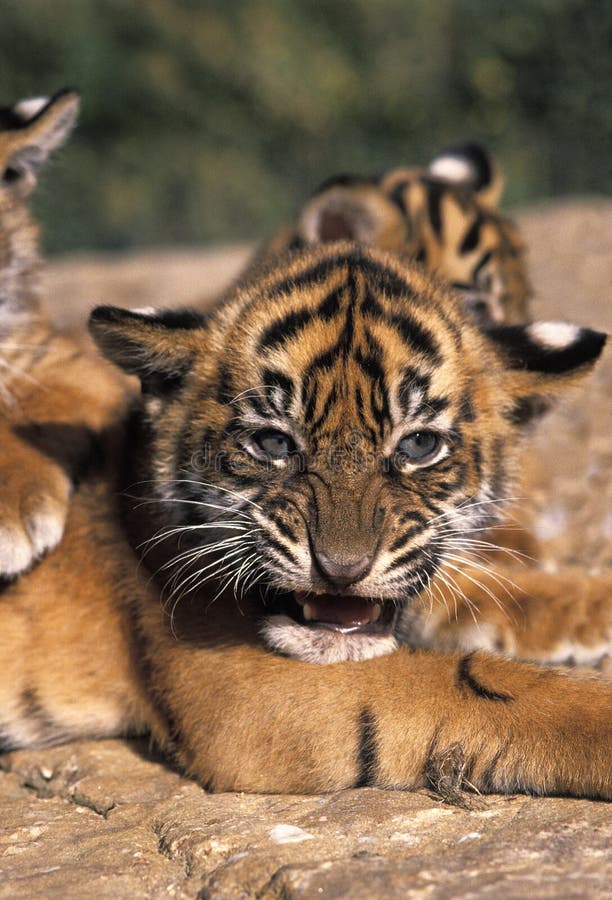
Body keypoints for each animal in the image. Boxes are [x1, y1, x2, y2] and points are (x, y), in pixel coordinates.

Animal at [1, 238, 610, 799]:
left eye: (418, 445)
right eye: (274, 443)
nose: (341, 571)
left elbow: (501, 589)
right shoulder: (248, 690)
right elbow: (477, 682)